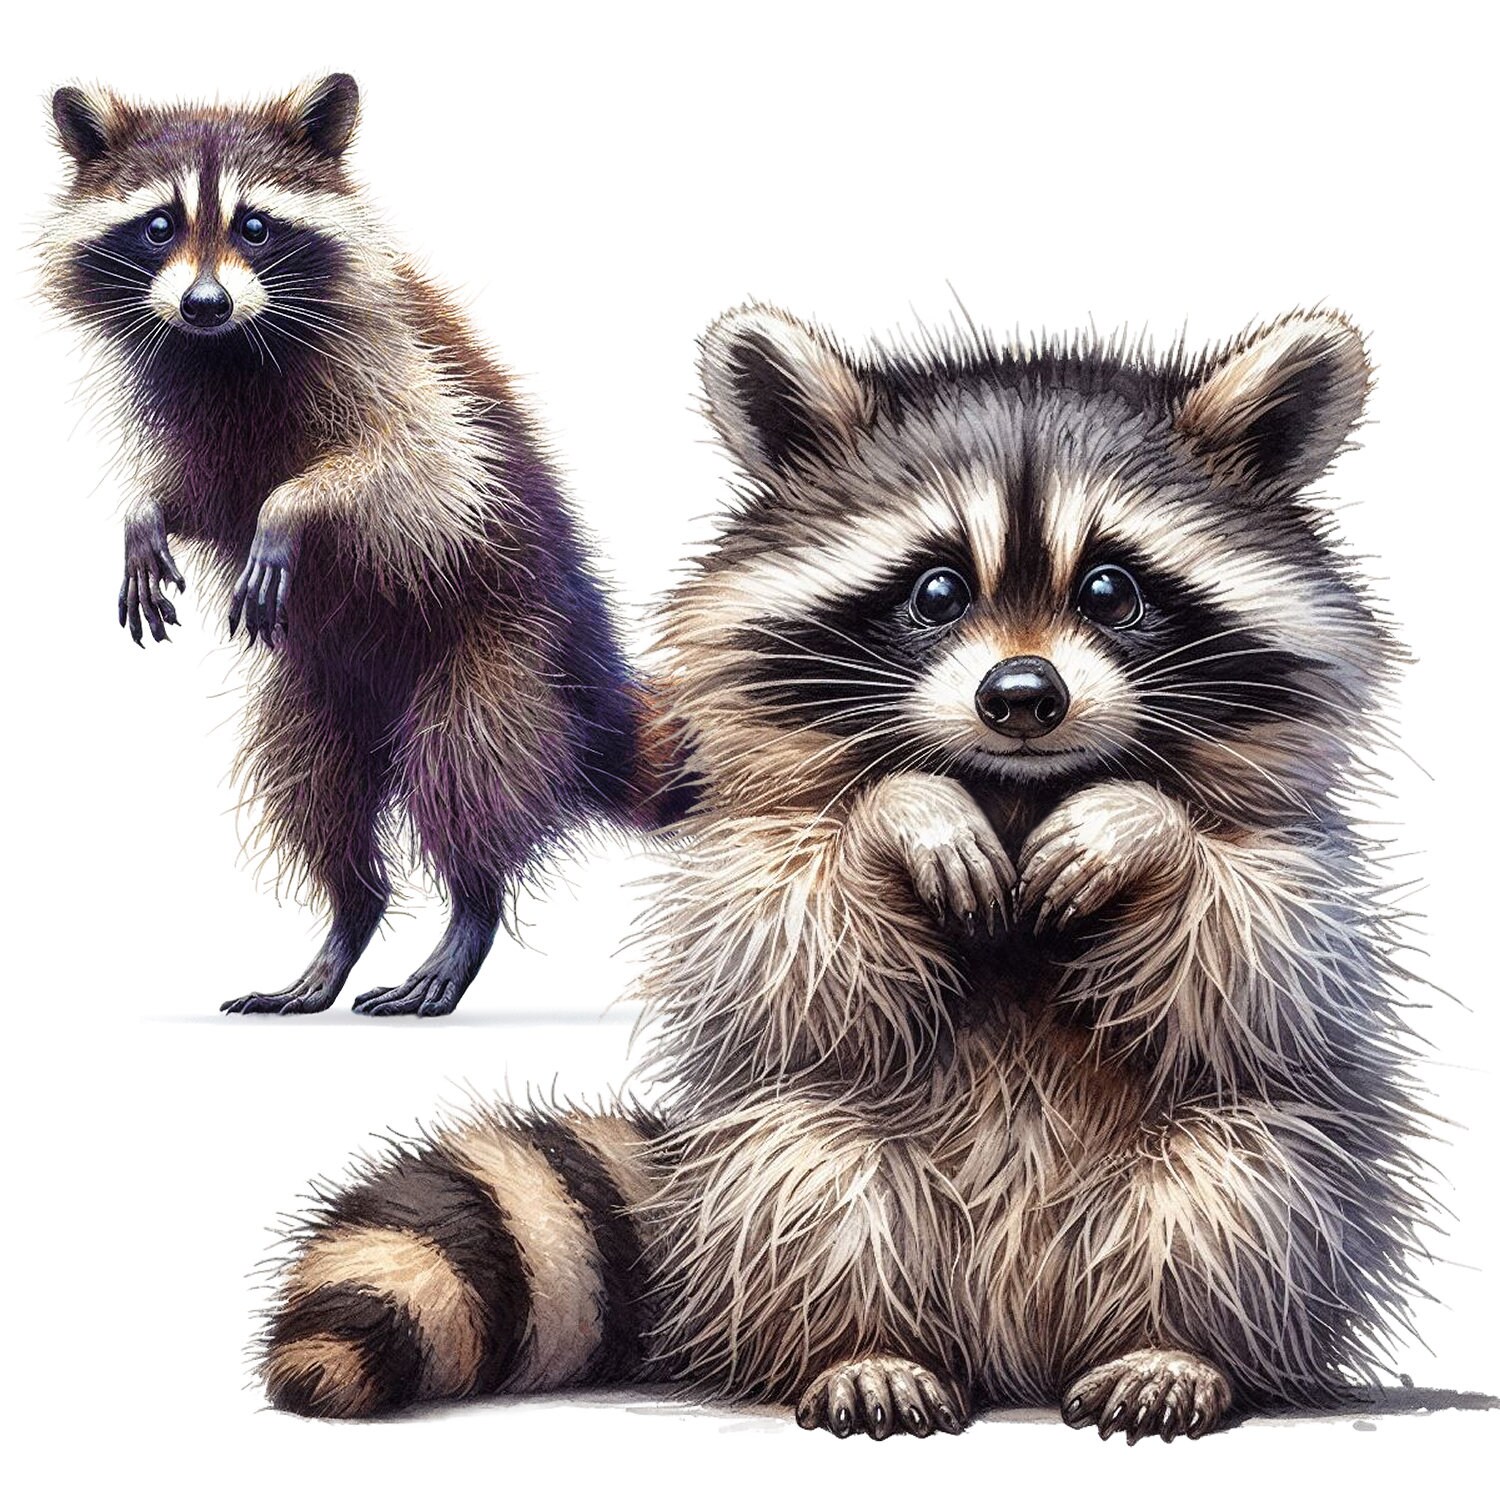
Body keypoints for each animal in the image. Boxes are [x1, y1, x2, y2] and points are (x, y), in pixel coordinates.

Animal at [41, 76, 675, 1015]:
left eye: (254, 226)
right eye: (157, 225)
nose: (203, 303)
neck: (224, 349)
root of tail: (595, 683)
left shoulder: (405, 372)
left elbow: (411, 472)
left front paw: (293, 505)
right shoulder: (196, 418)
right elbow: (199, 498)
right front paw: (141, 514)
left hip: (505, 653)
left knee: (469, 771)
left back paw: (470, 910)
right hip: (319, 691)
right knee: (316, 798)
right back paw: (346, 922)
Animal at [259, 305, 1432, 1440]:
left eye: (1111, 589)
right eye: (937, 591)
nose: (1022, 695)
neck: (1016, 787)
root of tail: (1017, 1351)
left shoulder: (1297, 862)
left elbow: (1253, 951)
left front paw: (1139, 826)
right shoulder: (745, 851)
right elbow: (797, 935)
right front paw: (900, 813)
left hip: (1269, 1182)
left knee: (1237, 1183)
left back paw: (1171, 1345)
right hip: (770, 1176)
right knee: (814, 1170)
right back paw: (866, 1346)